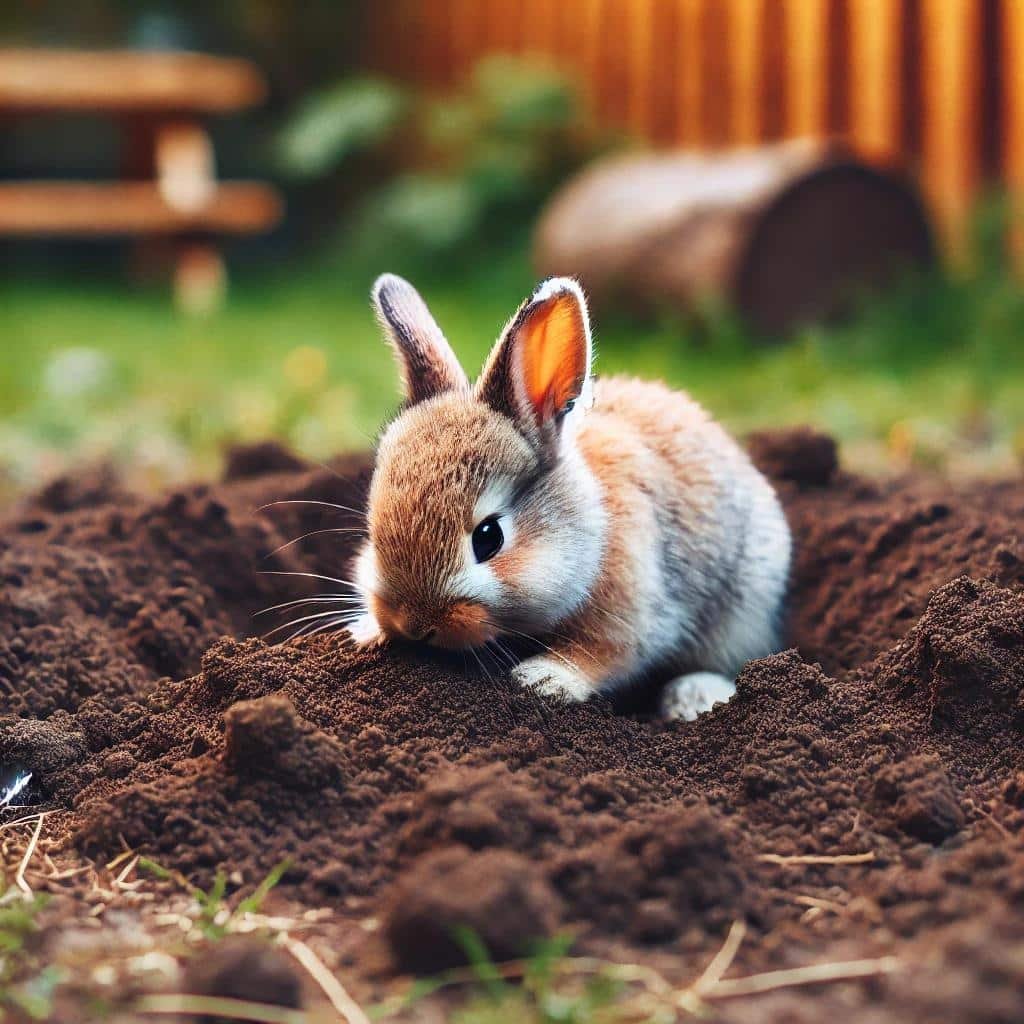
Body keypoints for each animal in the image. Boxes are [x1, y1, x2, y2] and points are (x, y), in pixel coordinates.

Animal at [346, 273, 792, 720]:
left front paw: (542, 679)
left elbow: (605, 652)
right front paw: (365, 633)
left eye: (489, 538)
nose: (415, 626)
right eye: (373, 531)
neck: (589, 523)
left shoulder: (634, 612)